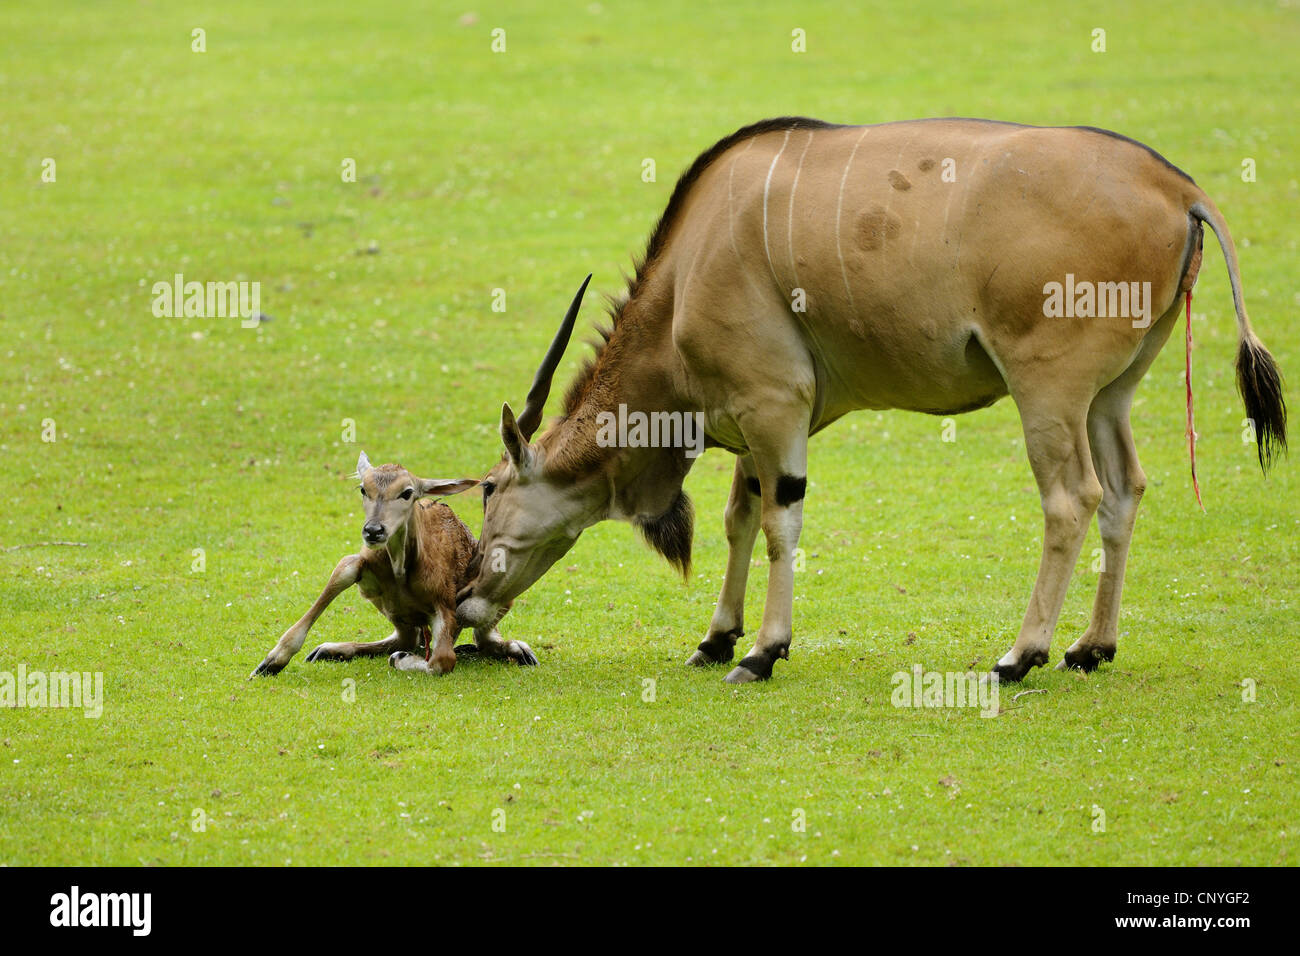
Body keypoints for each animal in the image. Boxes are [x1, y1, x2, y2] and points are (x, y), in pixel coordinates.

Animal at [455, 117, 1286, 683]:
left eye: (490, 491)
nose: (463, 598)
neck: (691, 266)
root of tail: (1177, 190)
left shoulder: (775, 405)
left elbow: (779, 523)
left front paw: (762, 651)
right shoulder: (758, 424)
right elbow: (739, 517)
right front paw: (717, 637)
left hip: (1047, 391)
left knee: (1072, 498)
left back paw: (1021, 655)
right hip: (1110, 396)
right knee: (1124, 492)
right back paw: (1091, 647)